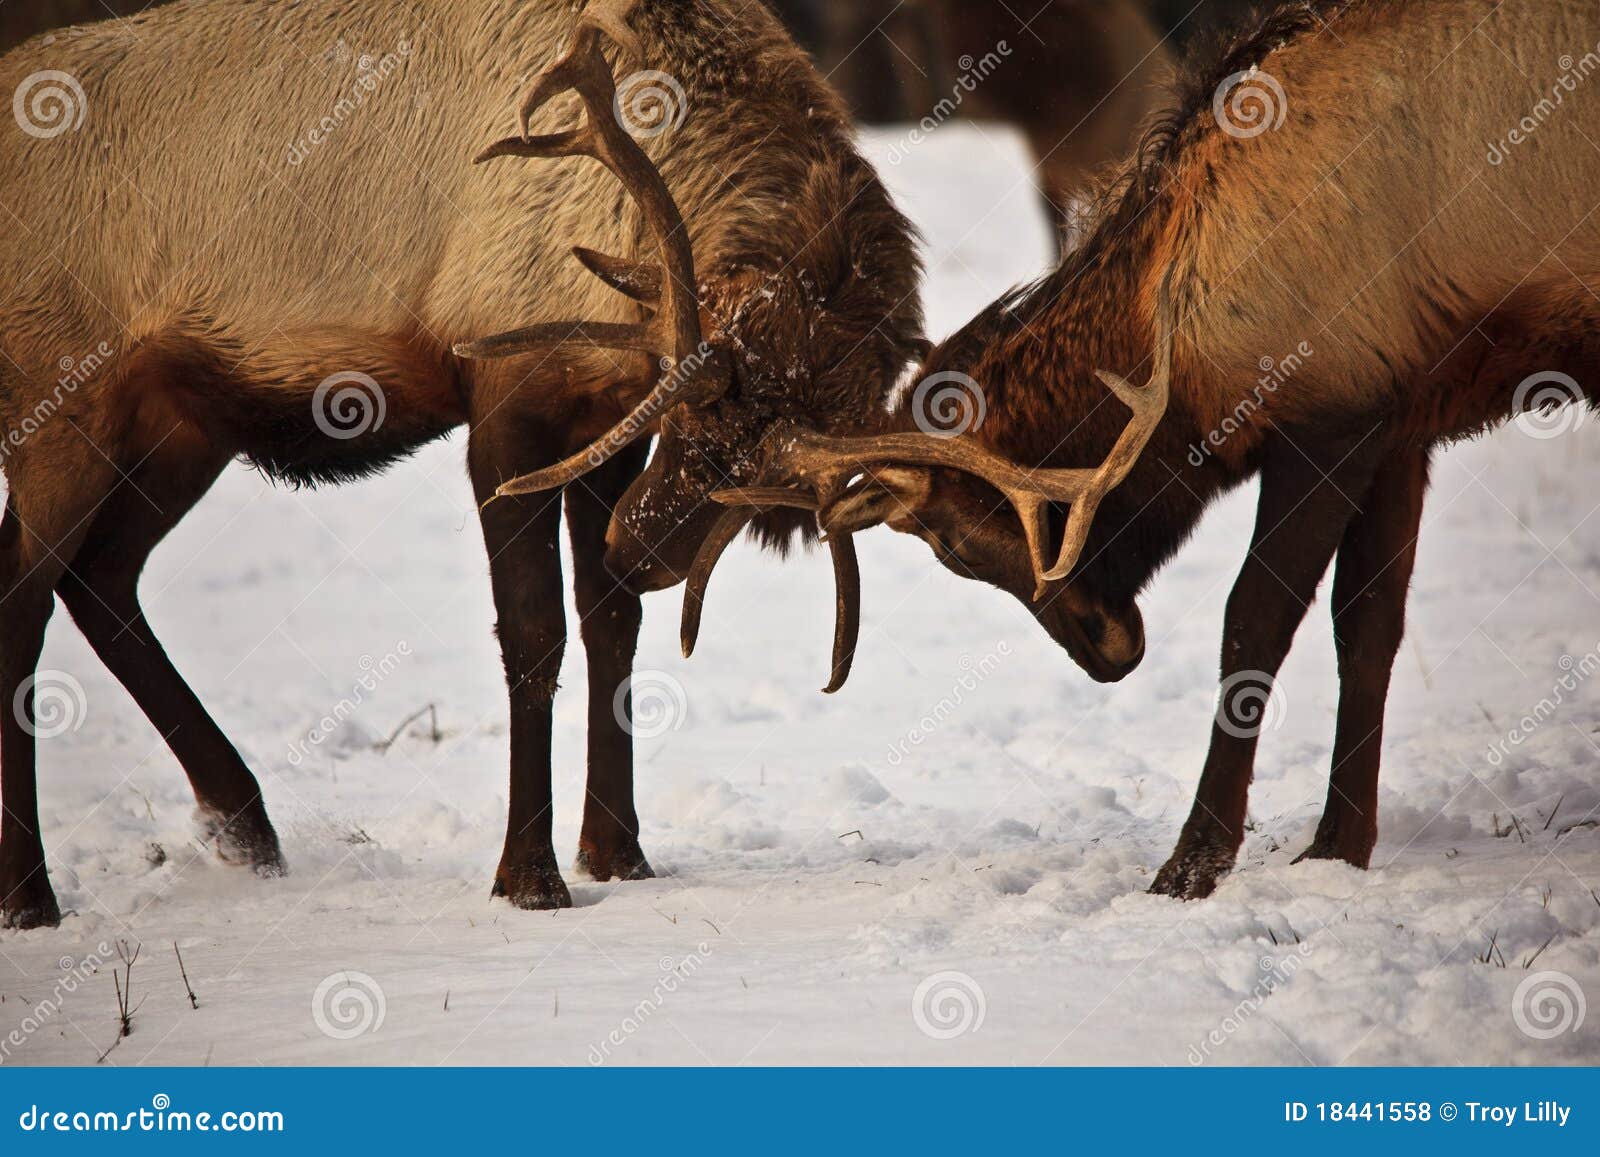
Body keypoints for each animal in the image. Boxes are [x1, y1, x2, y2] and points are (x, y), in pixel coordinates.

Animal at [0, 0, 923, 929]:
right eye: (694, 411)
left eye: (762, 485)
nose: (642, 552)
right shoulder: (507, 396)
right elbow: (534, 631)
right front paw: (530, 875)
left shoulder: (605, 422)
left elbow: (612, 624)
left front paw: (618, 852)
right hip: (58, 400)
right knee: (23, 598)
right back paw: (30, 896)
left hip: (181, 422)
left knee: (100, 576)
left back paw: (246, 831)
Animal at [682, 0, 1600, 899]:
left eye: (950, 548)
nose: (1105, 650)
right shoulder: (1400, 409)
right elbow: (1367, 628)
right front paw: (1338, 846)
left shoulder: (1327, 416)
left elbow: (1252, 623)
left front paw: (1192, 863)